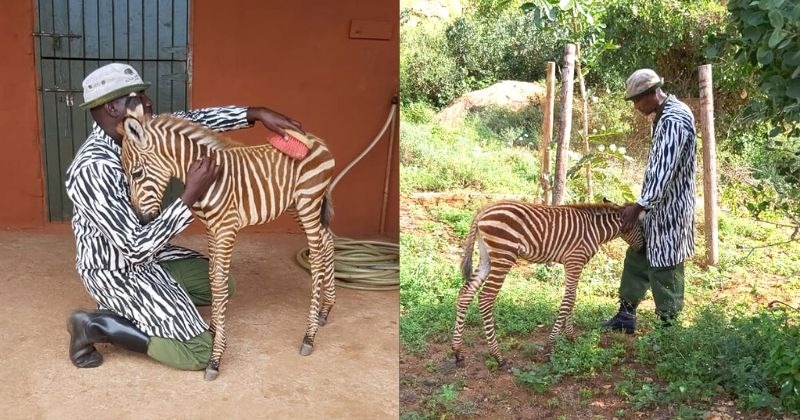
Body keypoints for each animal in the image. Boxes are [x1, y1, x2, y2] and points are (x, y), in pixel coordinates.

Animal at [451, 200, 644, 367]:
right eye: (643, 228)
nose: (643, 250)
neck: (595, 229)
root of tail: (484, 210)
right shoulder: (575, 261)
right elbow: (568, 300)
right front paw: (551, 344)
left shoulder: (572, 263)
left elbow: (572, 297)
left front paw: (570, 337)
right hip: (504, 255)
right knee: (486, 298)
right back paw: (497, 356)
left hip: (487, 257)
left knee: (466, 292)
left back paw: (457, 351)